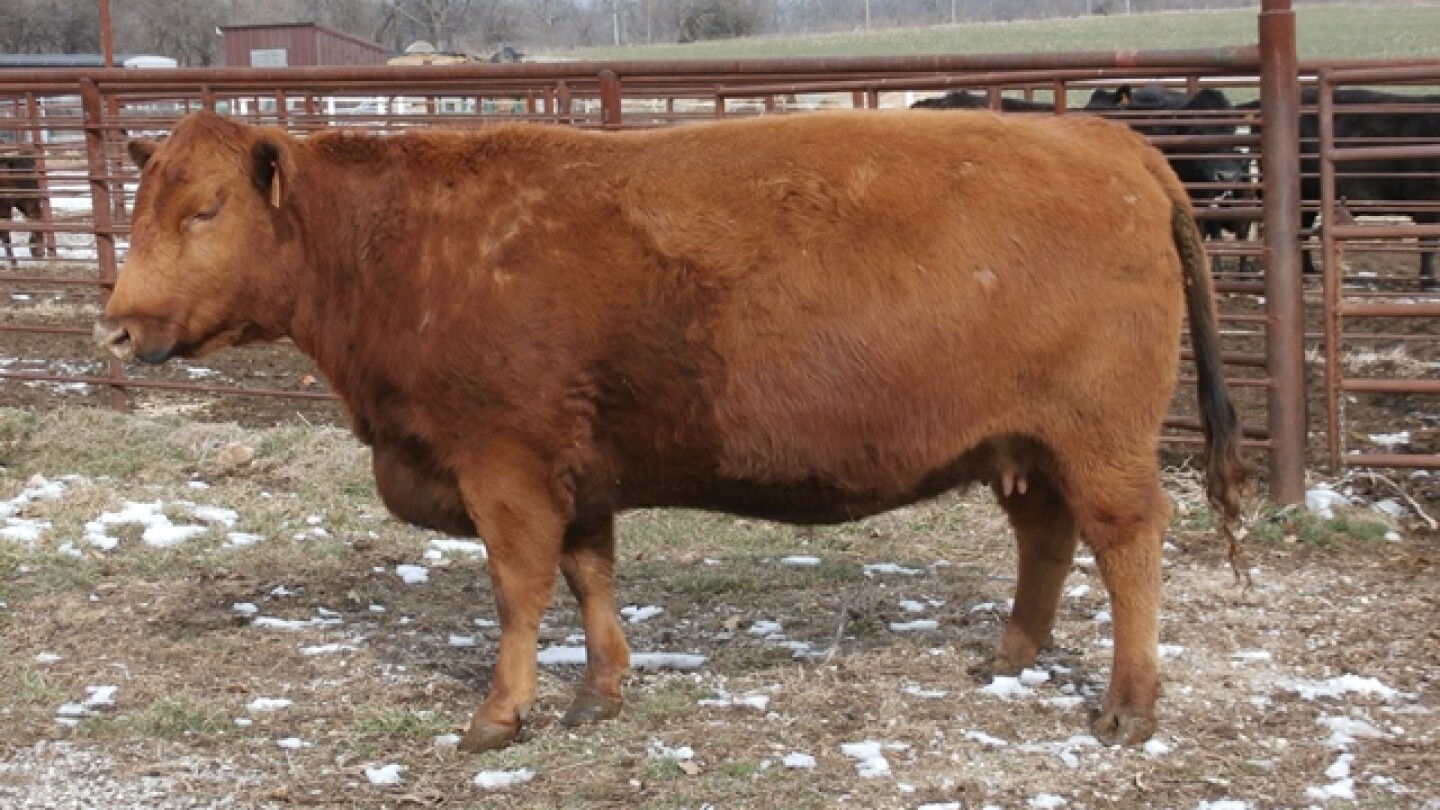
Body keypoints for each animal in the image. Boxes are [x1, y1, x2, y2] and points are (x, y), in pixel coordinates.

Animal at [96, 110, 1246, 753]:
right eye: (149, 205)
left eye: (204, 211)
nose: (118, 323)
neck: (403, 250)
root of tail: (1107, 142)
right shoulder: (577, 473)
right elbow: (587, 575)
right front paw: (602, 692)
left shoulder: (506, 465)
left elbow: (518, 589)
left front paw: (498, 716)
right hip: (1030, 448)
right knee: (1047, 539)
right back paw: (1007, 657)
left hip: (1100, 441)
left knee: (1129, 544)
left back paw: (1129, 706)